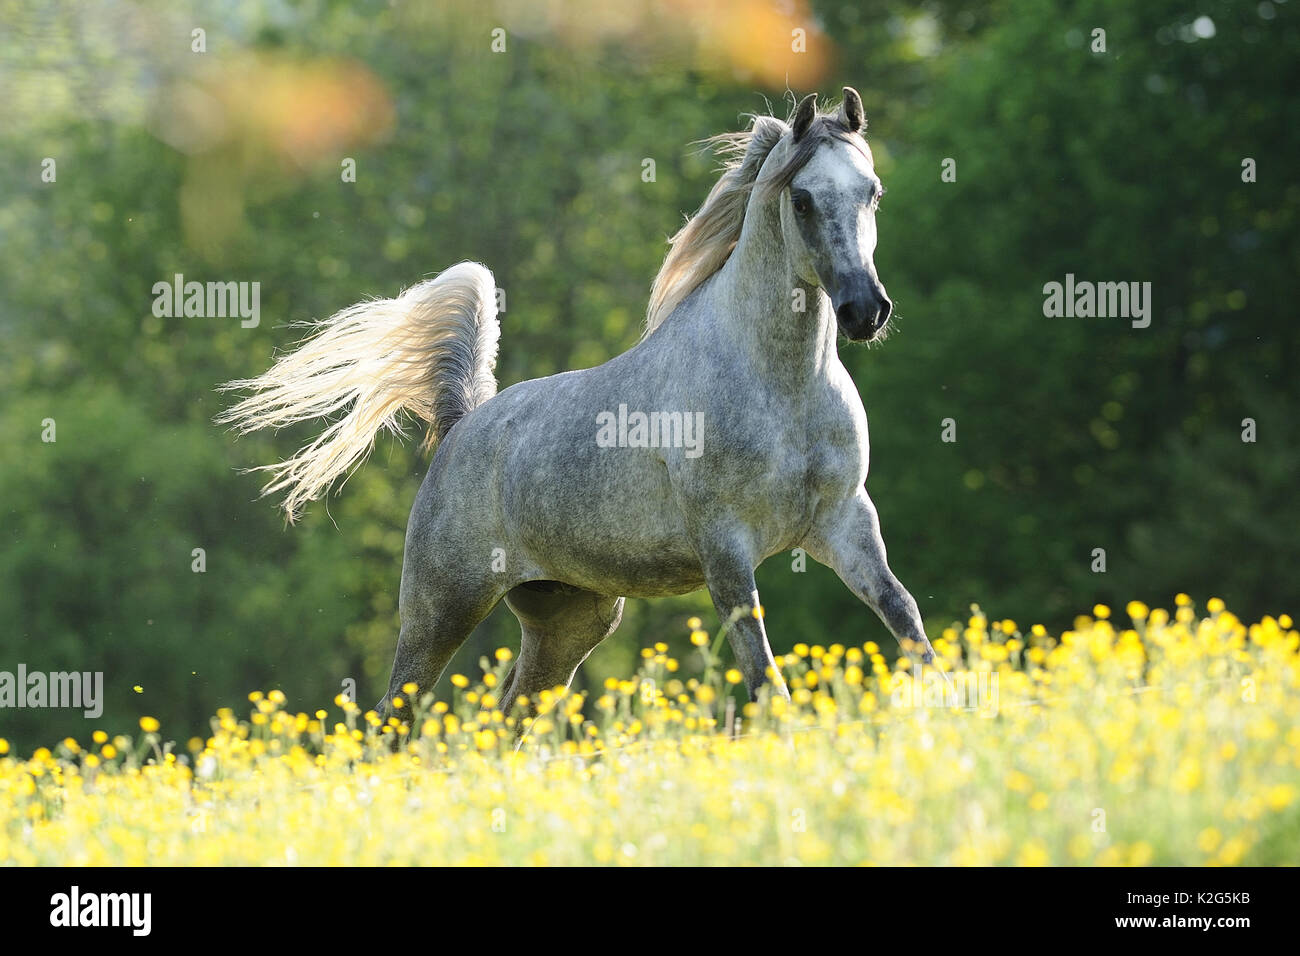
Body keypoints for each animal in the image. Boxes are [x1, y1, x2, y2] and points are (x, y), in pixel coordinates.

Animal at [218, 87, 939, 729]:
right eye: (804, 198)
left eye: (871, 190)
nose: (865, 310)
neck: (781, 386)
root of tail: (460, 427)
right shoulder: (726, 548)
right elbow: (766, 681)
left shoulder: (845, 523)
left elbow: (908, 622)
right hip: (442, 608)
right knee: (393, 719)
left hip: (571, 618)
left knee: (511, 714)